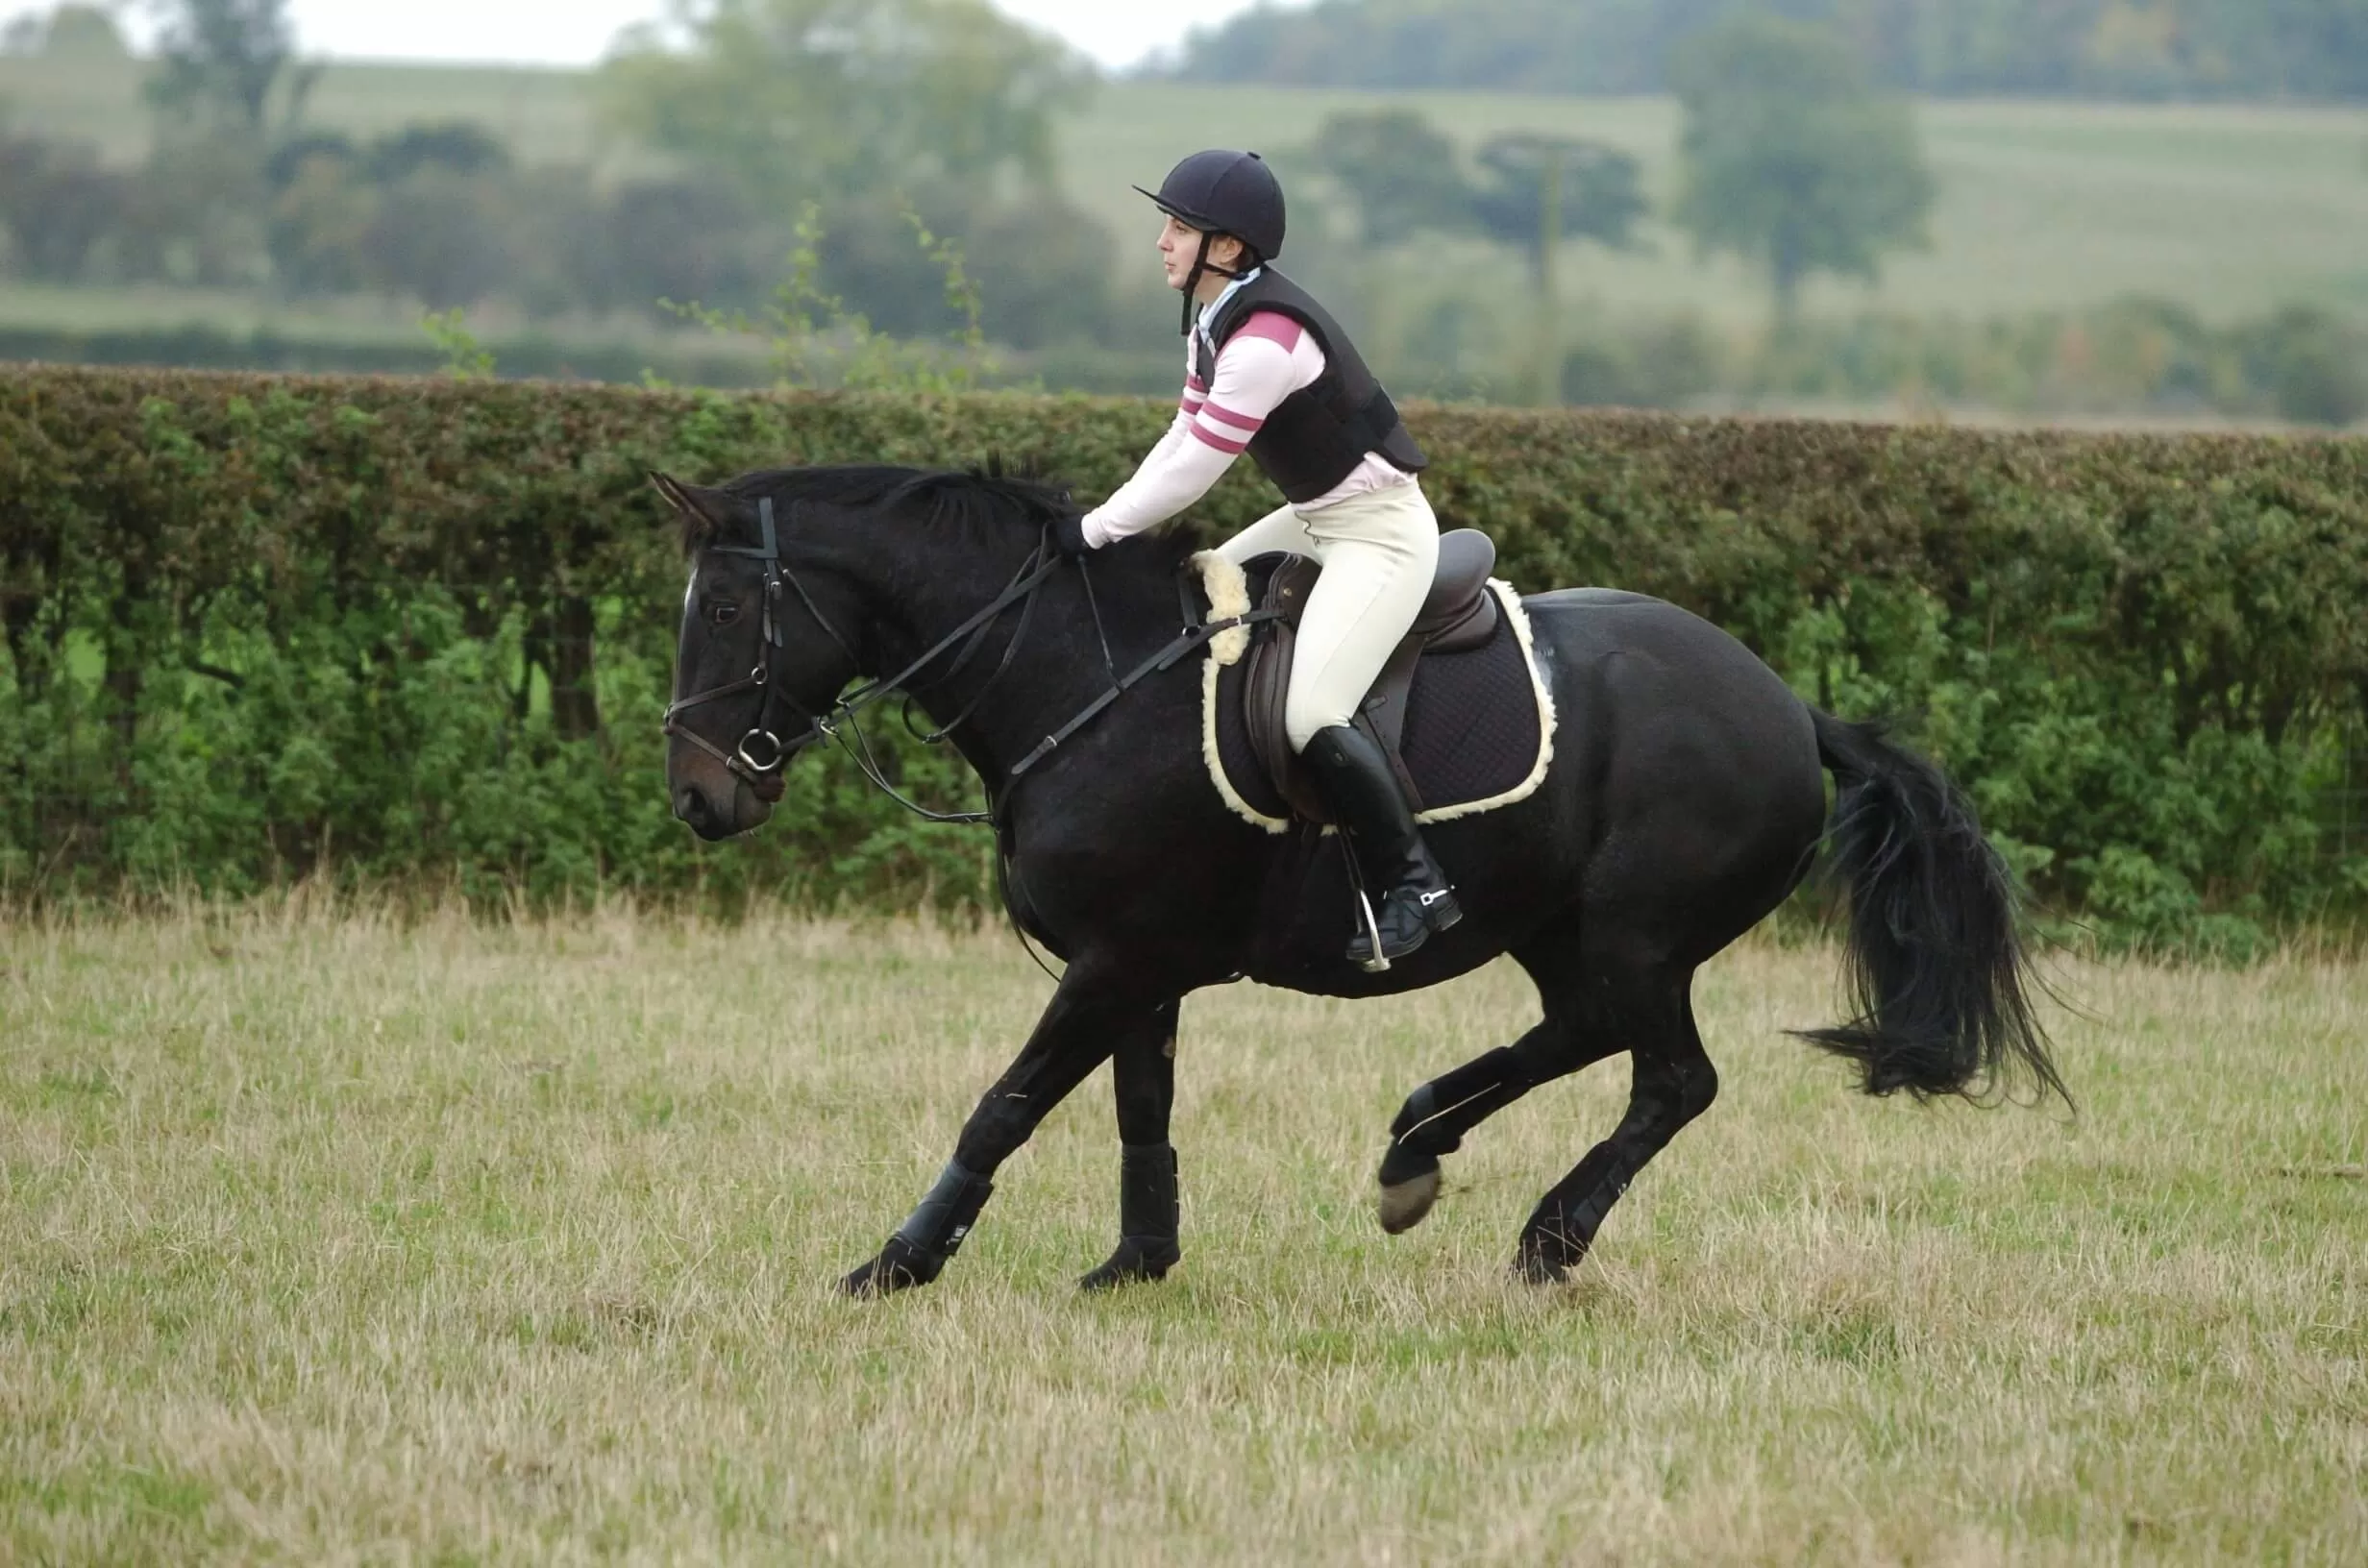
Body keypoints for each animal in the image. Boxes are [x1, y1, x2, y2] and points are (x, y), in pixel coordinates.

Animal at [657, 461, 2064, 1297]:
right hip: (1558, 926)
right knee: (1581, 1034)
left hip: (1634, 932)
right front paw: (1137, 1261)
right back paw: (1416, 1145)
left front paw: (897, 1262)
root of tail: (1787, 706)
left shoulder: (1114, 962)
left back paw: (1545, 1236)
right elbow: (1139, 1109)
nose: (699, 797)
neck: (1081, 679)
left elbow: (1004, 1108)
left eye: (723, 614)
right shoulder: (1140, 967)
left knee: (1669, 1076)